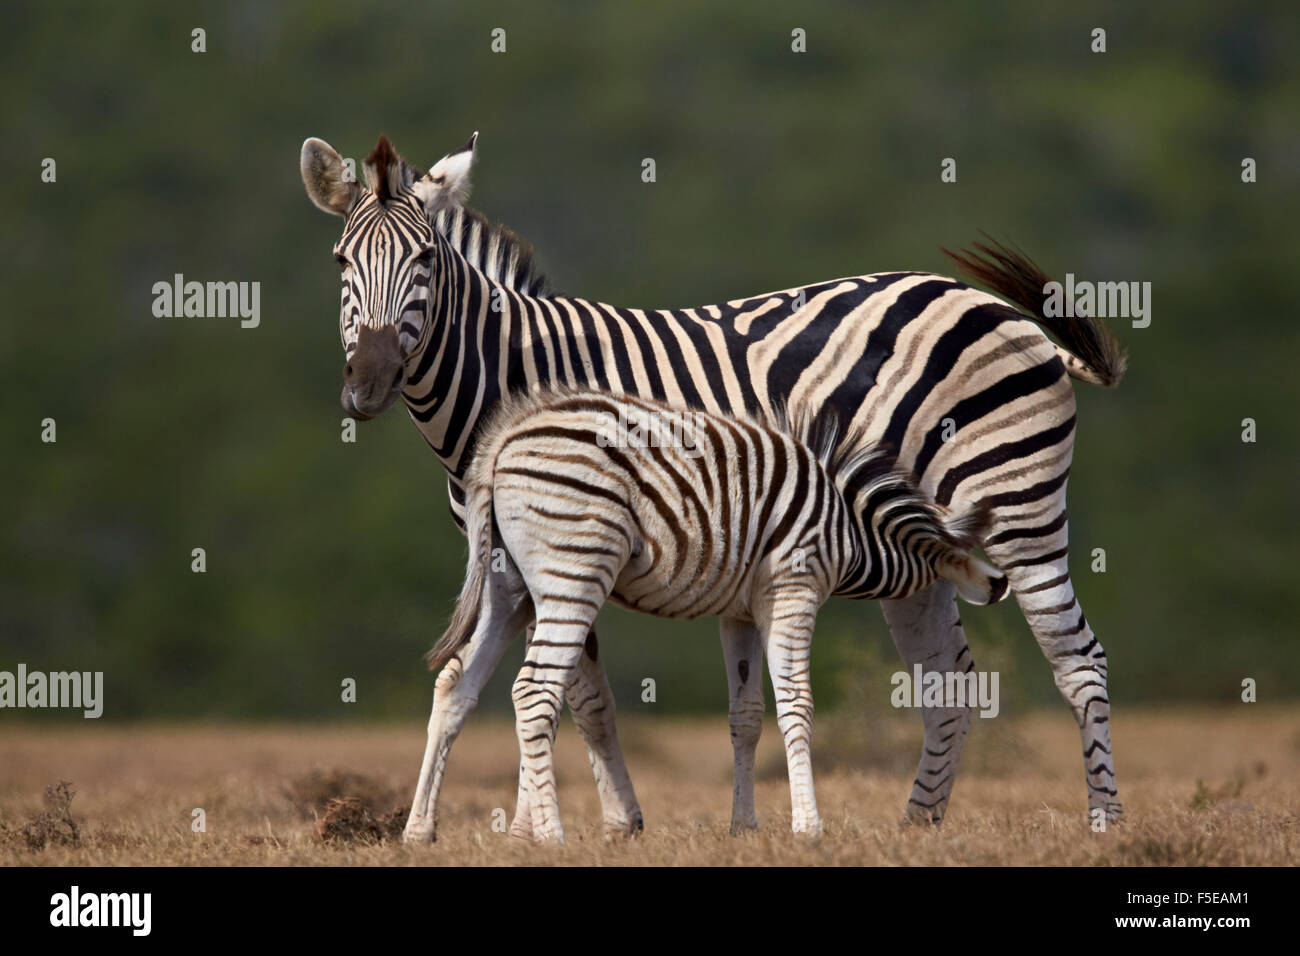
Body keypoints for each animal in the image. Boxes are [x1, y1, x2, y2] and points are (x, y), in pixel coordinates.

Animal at [416, 387, 1009, 841]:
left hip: (507, 588)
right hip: (573, 573)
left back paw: (420, 830)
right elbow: (797, 704)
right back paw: (552, 836)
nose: (999, 584)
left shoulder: (740, 613)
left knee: (456, 683)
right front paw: (808, 828)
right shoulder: (793, 589)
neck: (849, 529)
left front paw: (743, 827)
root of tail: (502, 441)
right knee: (534, 692)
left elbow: (744, 717)